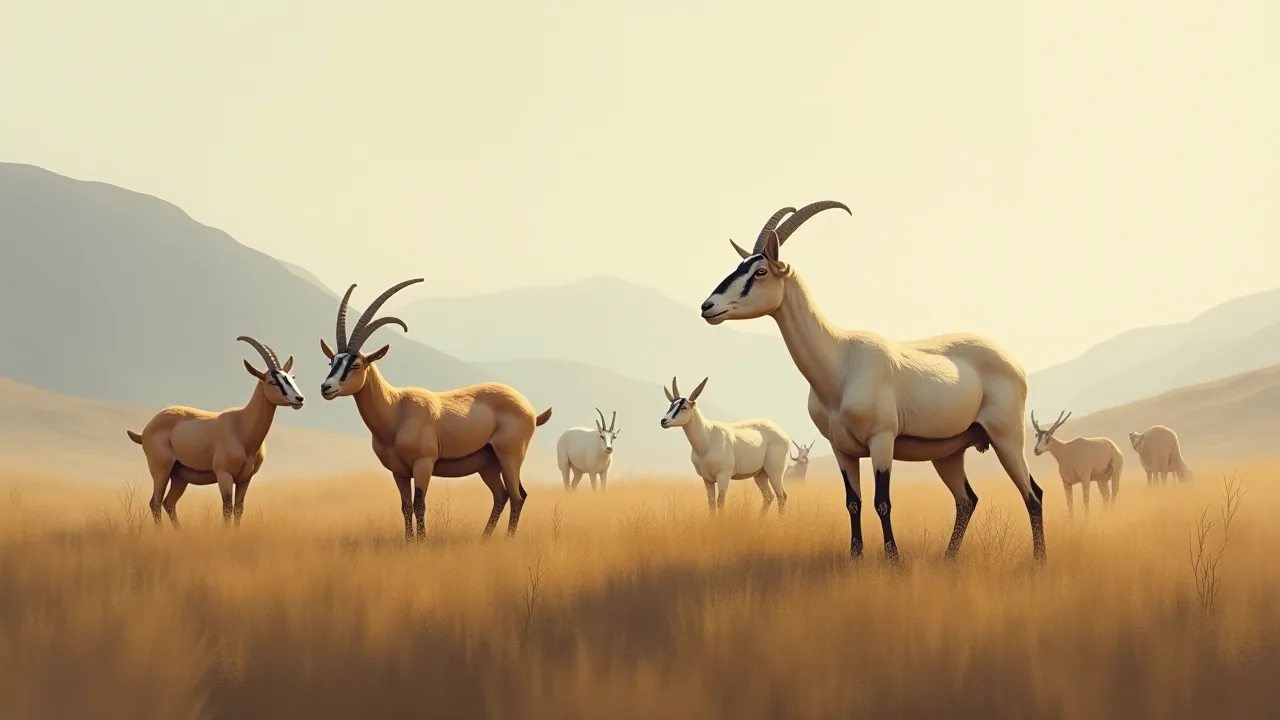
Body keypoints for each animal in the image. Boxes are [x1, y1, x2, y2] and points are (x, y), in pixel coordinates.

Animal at [126, 336, 304, 528]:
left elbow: (238, 509)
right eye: (273, 381)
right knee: (155, 503)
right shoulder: (224, 475)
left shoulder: (245, 479)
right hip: (161, 470)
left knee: (169, 503)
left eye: (291, 378)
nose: (299, 399)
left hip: (179, 477)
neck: (242, 426)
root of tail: (145, 431)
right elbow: (227, 508)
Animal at [318, 279, 551, 541]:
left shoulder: (423, 464)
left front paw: (421, 543)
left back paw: (506, 539)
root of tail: (530, 410)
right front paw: (409, 542)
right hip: (489, 465)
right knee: (501, 496)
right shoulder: (399, 472)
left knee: (518, 496)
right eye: (332, 361)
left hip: (510, 456)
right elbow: (406, 506)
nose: (326, 387)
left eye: (356, 364)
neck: (396, 411)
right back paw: (483, 539)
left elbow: (420, 504)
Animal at [659, 376, 790, 517]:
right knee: (769, 496)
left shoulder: (723, 476)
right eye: (671, 405)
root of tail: (783, 434)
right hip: (760, 475)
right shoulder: (707, 479)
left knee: (782, 496)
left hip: (775, 472)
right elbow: (711, 503)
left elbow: (720, 502)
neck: (708, 439)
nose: (664, 421)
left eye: (683, 407)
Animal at [698, 201, 1045, 562]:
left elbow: (882, 502)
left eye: (760, 271)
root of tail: (1014, 365)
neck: (841, 364)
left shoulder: (881, 441)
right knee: (967, 500)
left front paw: (893, 559)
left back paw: (1038, 561)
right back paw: (949, 560)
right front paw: (856, 556)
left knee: (1033, 494)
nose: (708, 307)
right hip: (947, 453)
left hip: (1007, 437)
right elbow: (853, 502)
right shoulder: (842, 450)